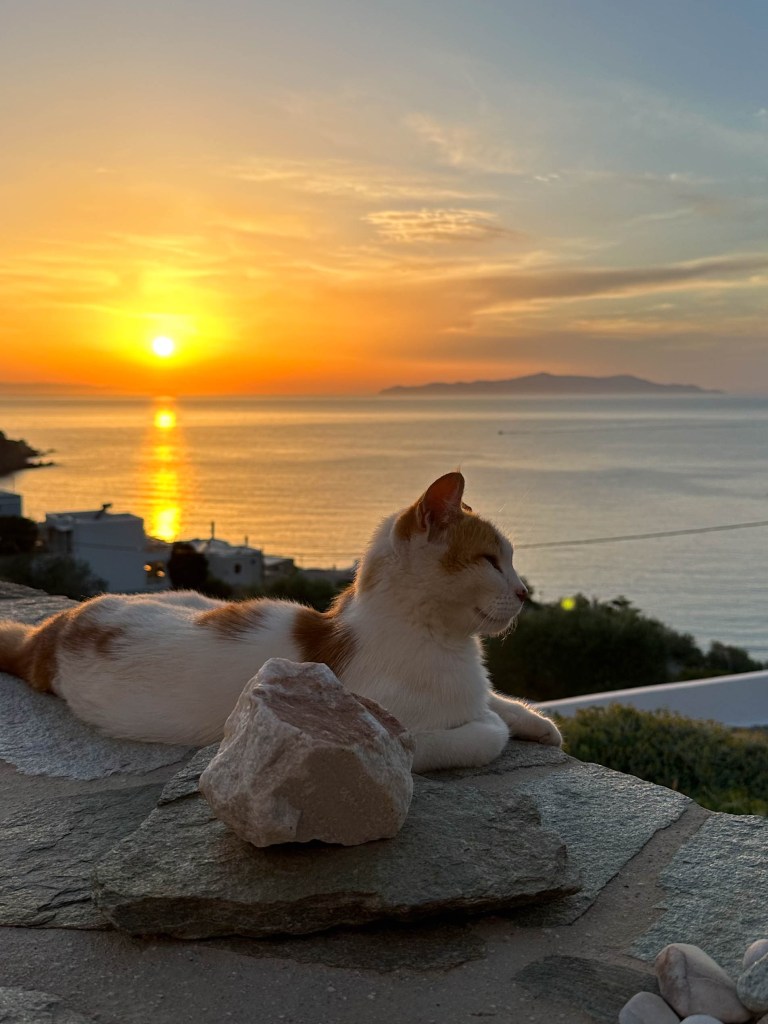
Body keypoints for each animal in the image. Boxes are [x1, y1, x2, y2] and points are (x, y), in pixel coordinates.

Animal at [0, 471, 561, 770]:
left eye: (511, 560)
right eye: (490, 561)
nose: (523, 592)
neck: (443, 642)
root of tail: (53, 629)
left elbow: (496, 701)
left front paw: (538, 723)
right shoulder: (395, 743)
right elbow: (483, 733)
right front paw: (500, 725)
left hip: (196, 599)